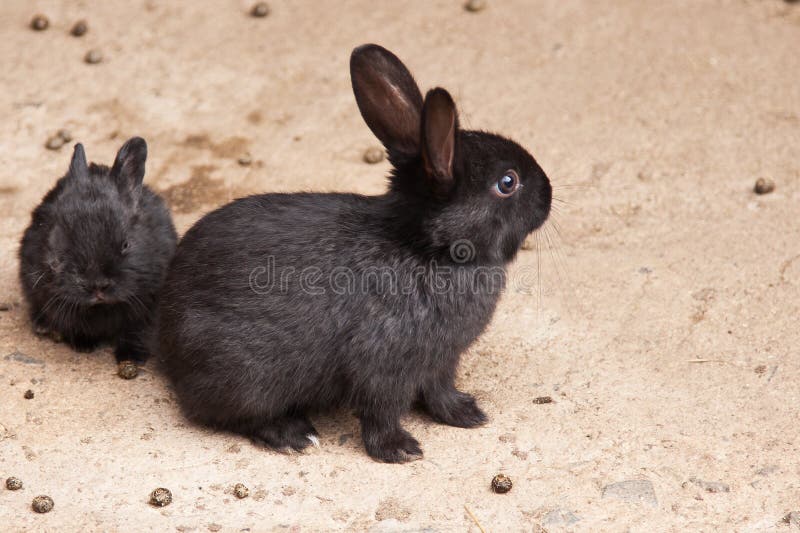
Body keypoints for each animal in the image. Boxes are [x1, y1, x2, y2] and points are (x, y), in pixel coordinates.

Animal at [19, 137, 177, 363]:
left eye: (126, 244)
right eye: (60, 237)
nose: (96, 286)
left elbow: (136, 334)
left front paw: (131, 358)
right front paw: (84, 346)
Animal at [157, 44, 552, 463]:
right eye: (508, 182)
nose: (548, 193)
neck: (429, 249)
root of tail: (164, 339)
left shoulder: (441, 361)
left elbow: (439, 392)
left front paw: (467, 414)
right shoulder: (383, 366)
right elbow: (381, 411)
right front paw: (400, 450)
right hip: (245, 377)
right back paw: (292, 433)